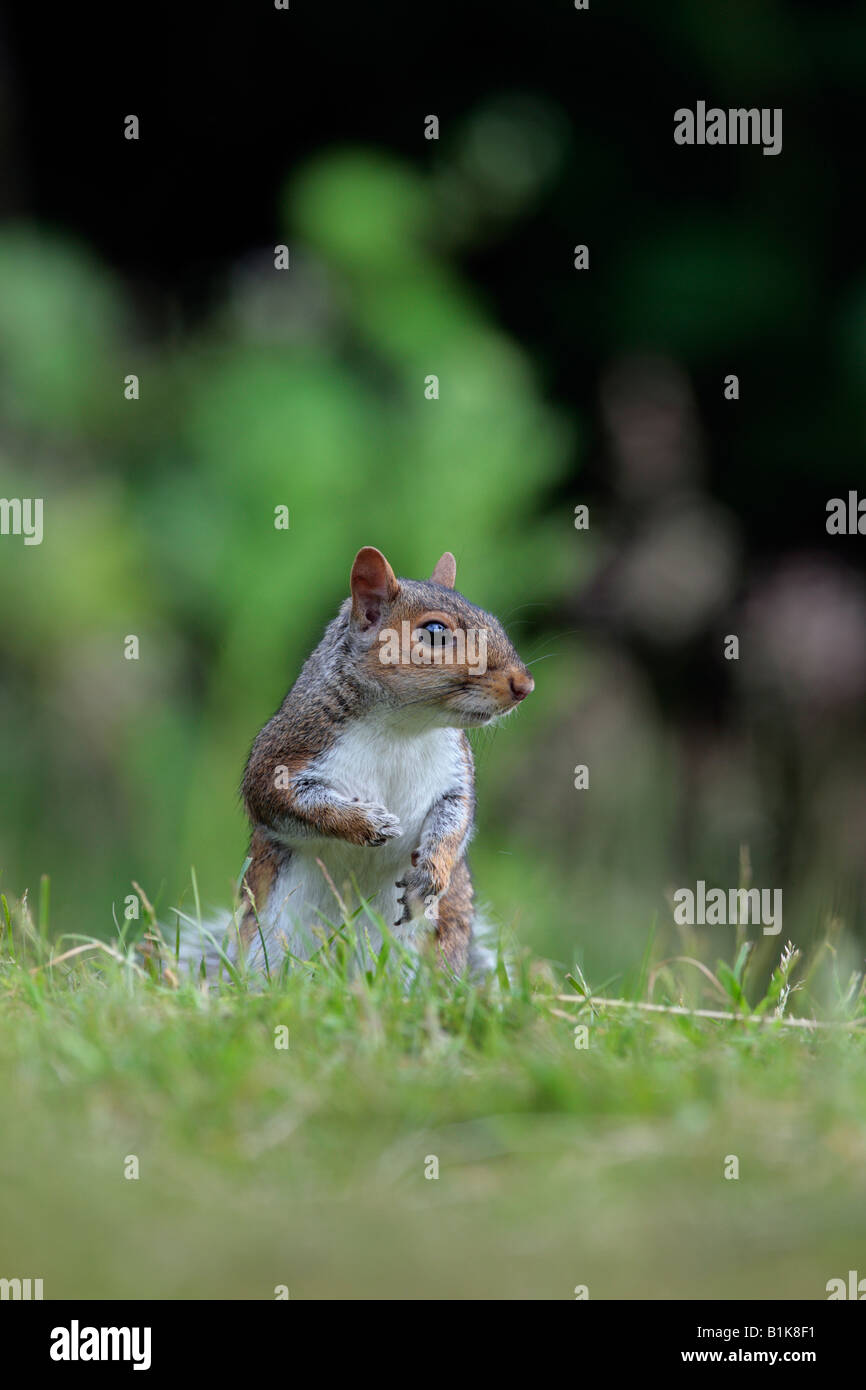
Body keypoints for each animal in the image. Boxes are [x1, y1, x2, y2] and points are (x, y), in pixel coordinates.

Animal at [182, 547, 533, 979]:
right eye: (435, 632)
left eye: (494, 621)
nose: (524, 685)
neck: (401, 726)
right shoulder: (288, 751)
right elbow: (283, 799)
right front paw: (366, 822)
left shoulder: (455, 773)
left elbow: (455, 818)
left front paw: (431, 873)